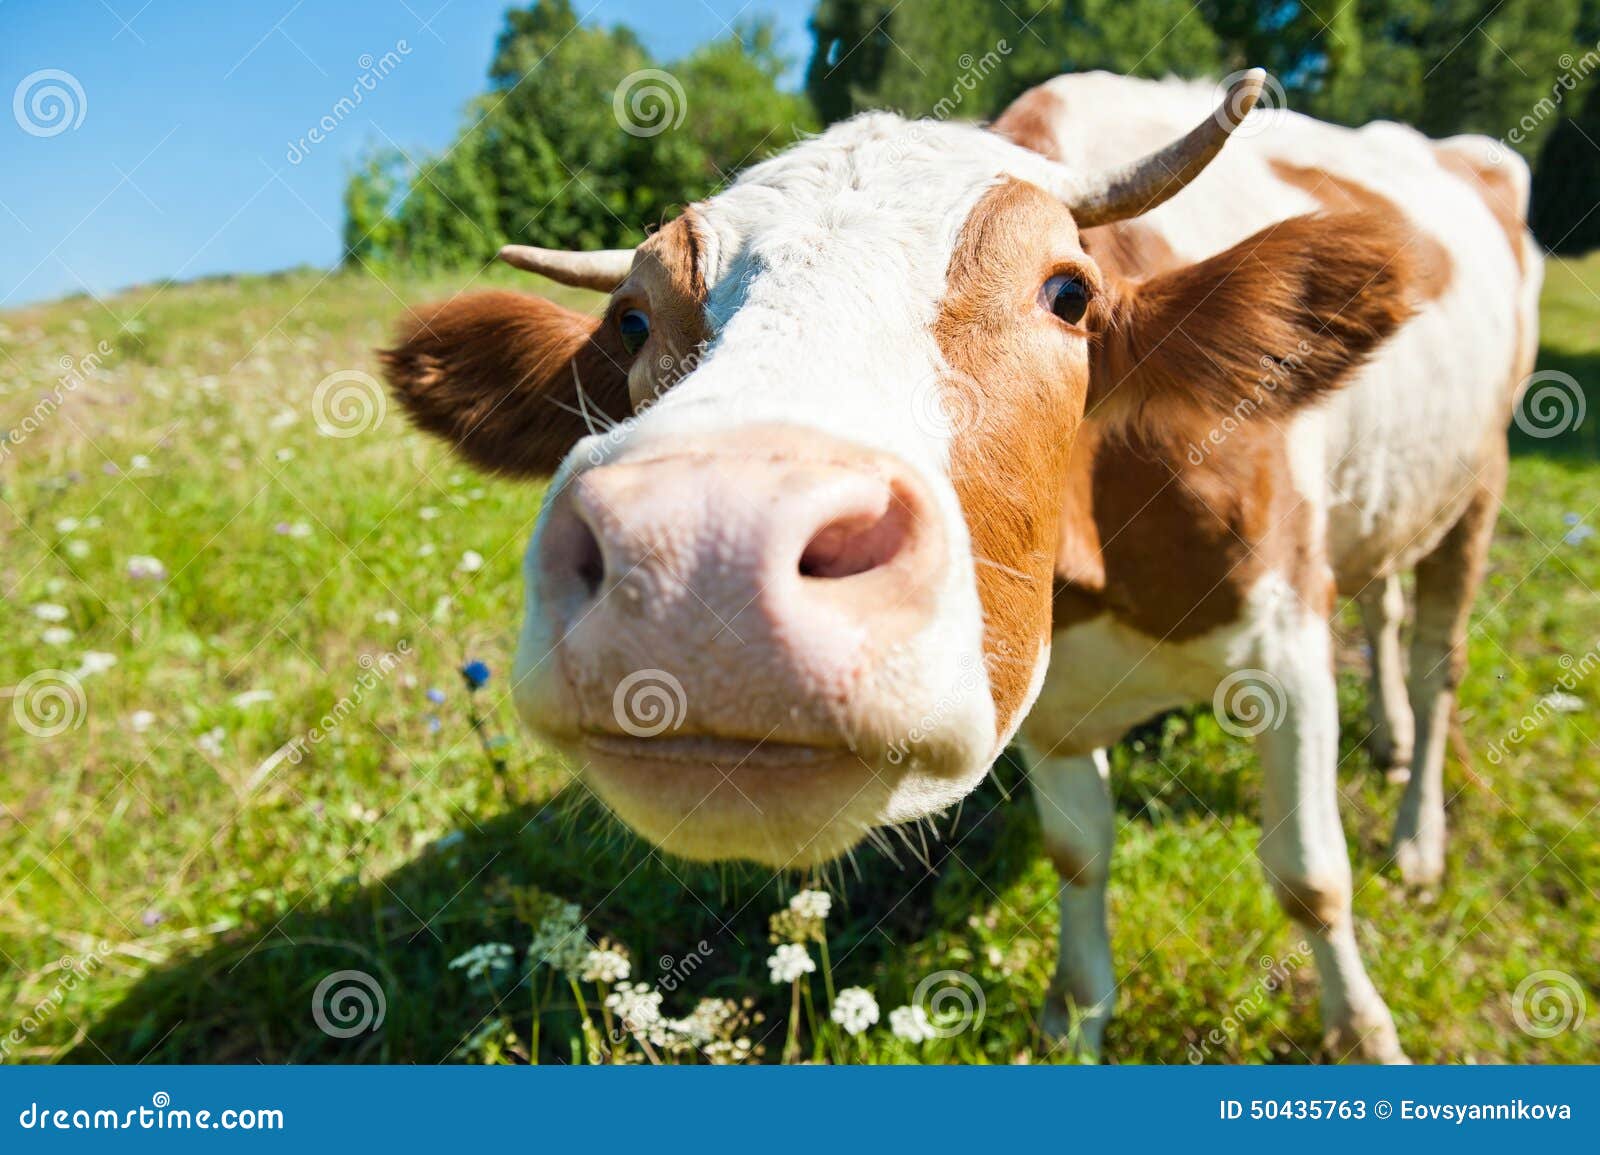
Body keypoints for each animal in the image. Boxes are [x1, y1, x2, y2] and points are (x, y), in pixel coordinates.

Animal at [380, 69, 1536, 1064]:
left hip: (1480, 478)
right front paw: (1076, 1020)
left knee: (1437, 656)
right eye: (629, 319)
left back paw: (1417, 831)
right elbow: (1080, 855)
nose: (701, 559)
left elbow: (1309, 876)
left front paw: (1362, 1031)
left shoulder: (1286, 638)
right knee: (1386, 605)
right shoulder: (1052, 699)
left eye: (1068, 294)